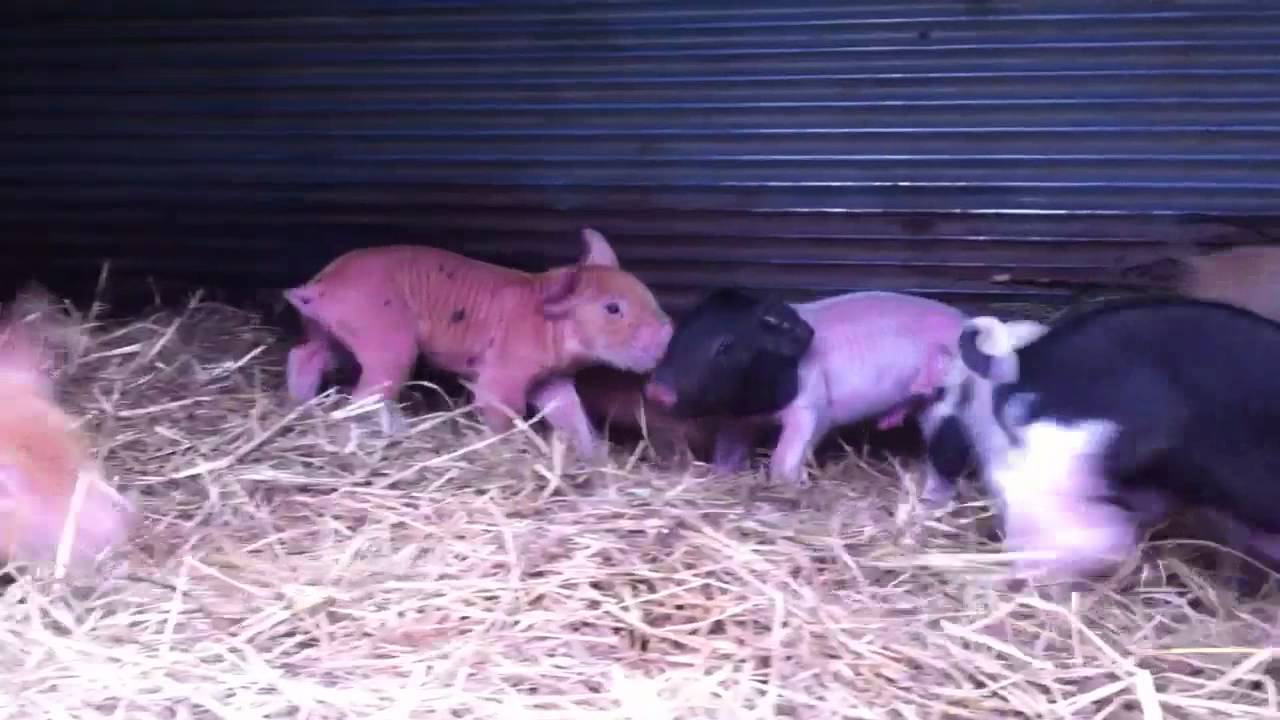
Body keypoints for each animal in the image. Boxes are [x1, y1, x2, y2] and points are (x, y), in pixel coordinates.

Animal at [282, 228, 675, 462]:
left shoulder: (552, 380)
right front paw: (505, 451)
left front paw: (594, 459)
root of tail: (319, 285)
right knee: (366, 394)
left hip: (331, 333)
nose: (668, 331)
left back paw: (300, 406)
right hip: (386, 340)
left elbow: (569, 411)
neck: (548, 325)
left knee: (304, 355)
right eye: (613, 308)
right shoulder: (504, 373)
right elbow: (504, 409)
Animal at [643, 288, 969, 494]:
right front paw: (722, 474)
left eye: (725, 345)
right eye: (679, 333)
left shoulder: (813, 405)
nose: (655, 391)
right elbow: (727, 451)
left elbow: (787, 456)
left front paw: (792, 485)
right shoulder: (739, 420)